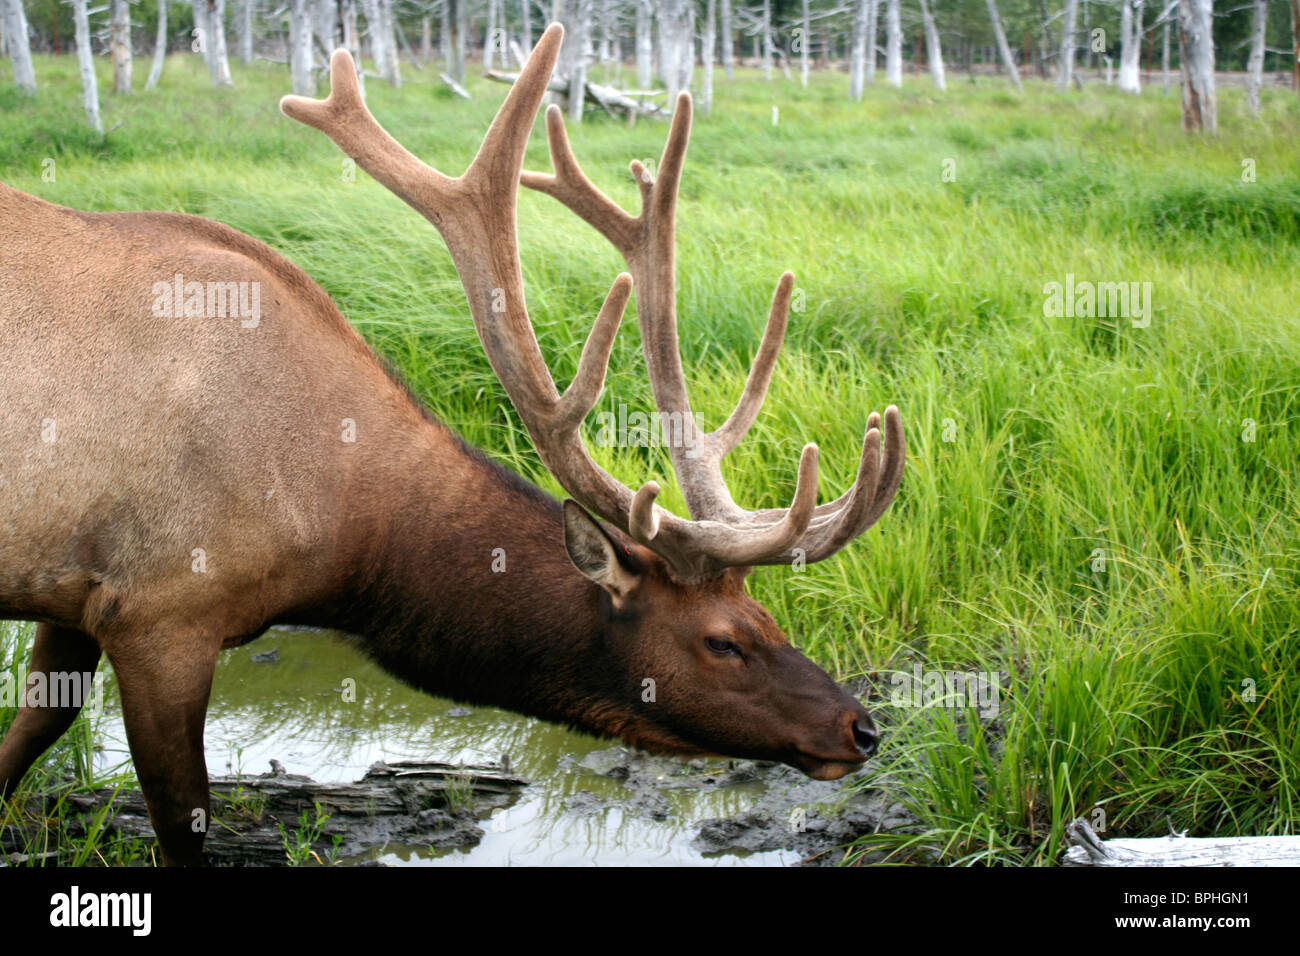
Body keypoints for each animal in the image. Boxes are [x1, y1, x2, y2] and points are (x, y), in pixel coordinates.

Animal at [0, 23, 903, 866]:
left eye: (768, 615)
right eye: (724, 640)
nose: (861, 728)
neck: (341, 536)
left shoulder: (76, 593)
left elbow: (29, 735)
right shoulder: (161, 610)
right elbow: (181, 822)